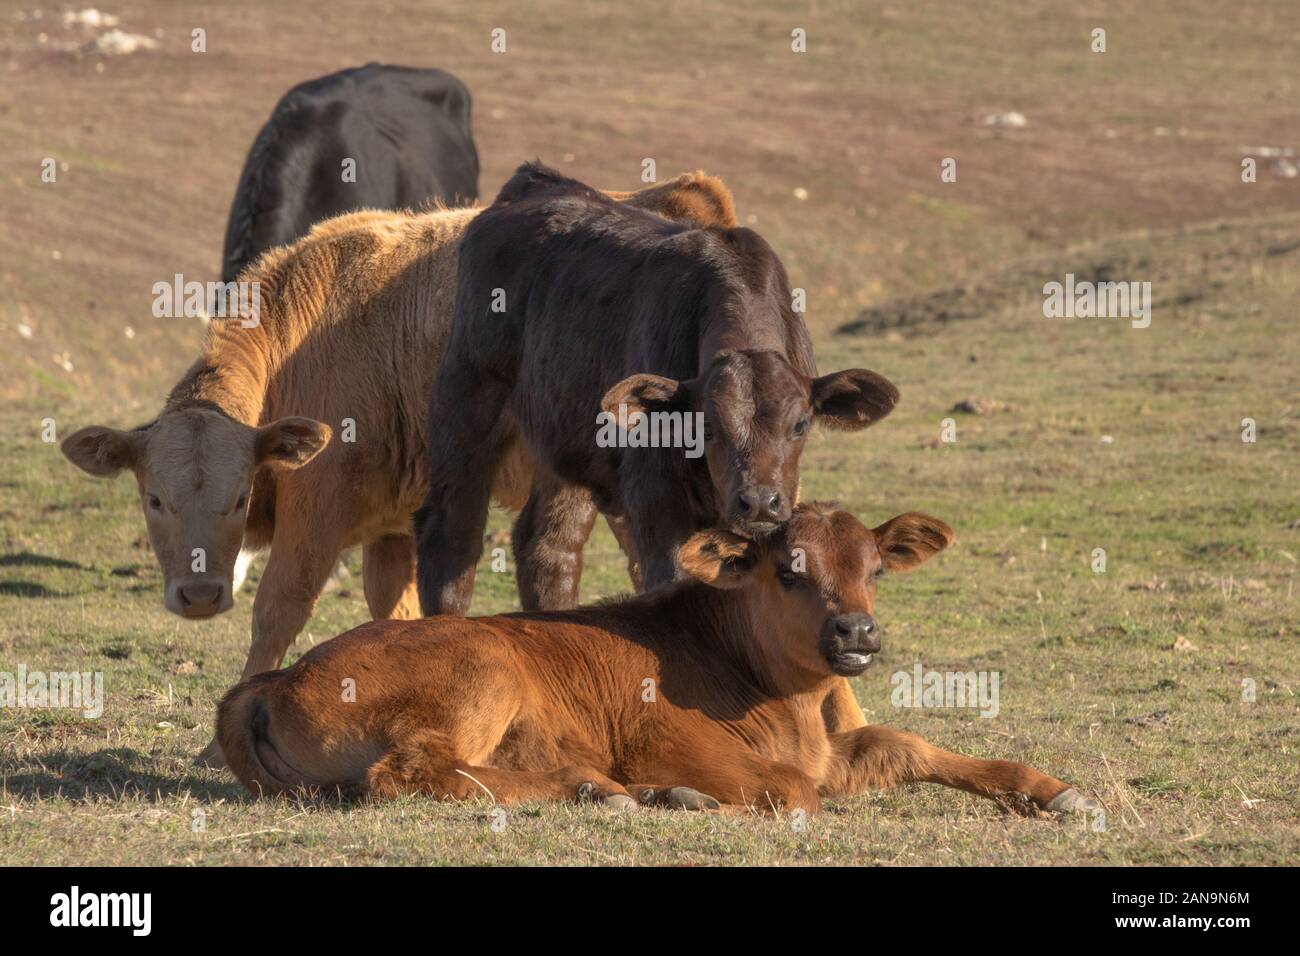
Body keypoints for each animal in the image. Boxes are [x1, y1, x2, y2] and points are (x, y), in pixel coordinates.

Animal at [60, 172, 740, 768]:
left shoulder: (316, 509)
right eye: (154, 500)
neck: (300, 338)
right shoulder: (390, 529)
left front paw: (212, 749)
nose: (199, 595)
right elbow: (397, 616)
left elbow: (278, 610)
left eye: (239, 497)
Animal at [217, 502, 1098, 819]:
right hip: (483, 670)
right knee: (407, 774)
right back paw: (611, 792)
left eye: (876, 569)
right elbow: (794, 792)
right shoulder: (668, 737)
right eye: (788, 570)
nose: (857, 633)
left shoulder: (841, 746)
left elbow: (906, 745)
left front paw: (1052, 791)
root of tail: (281, 675)